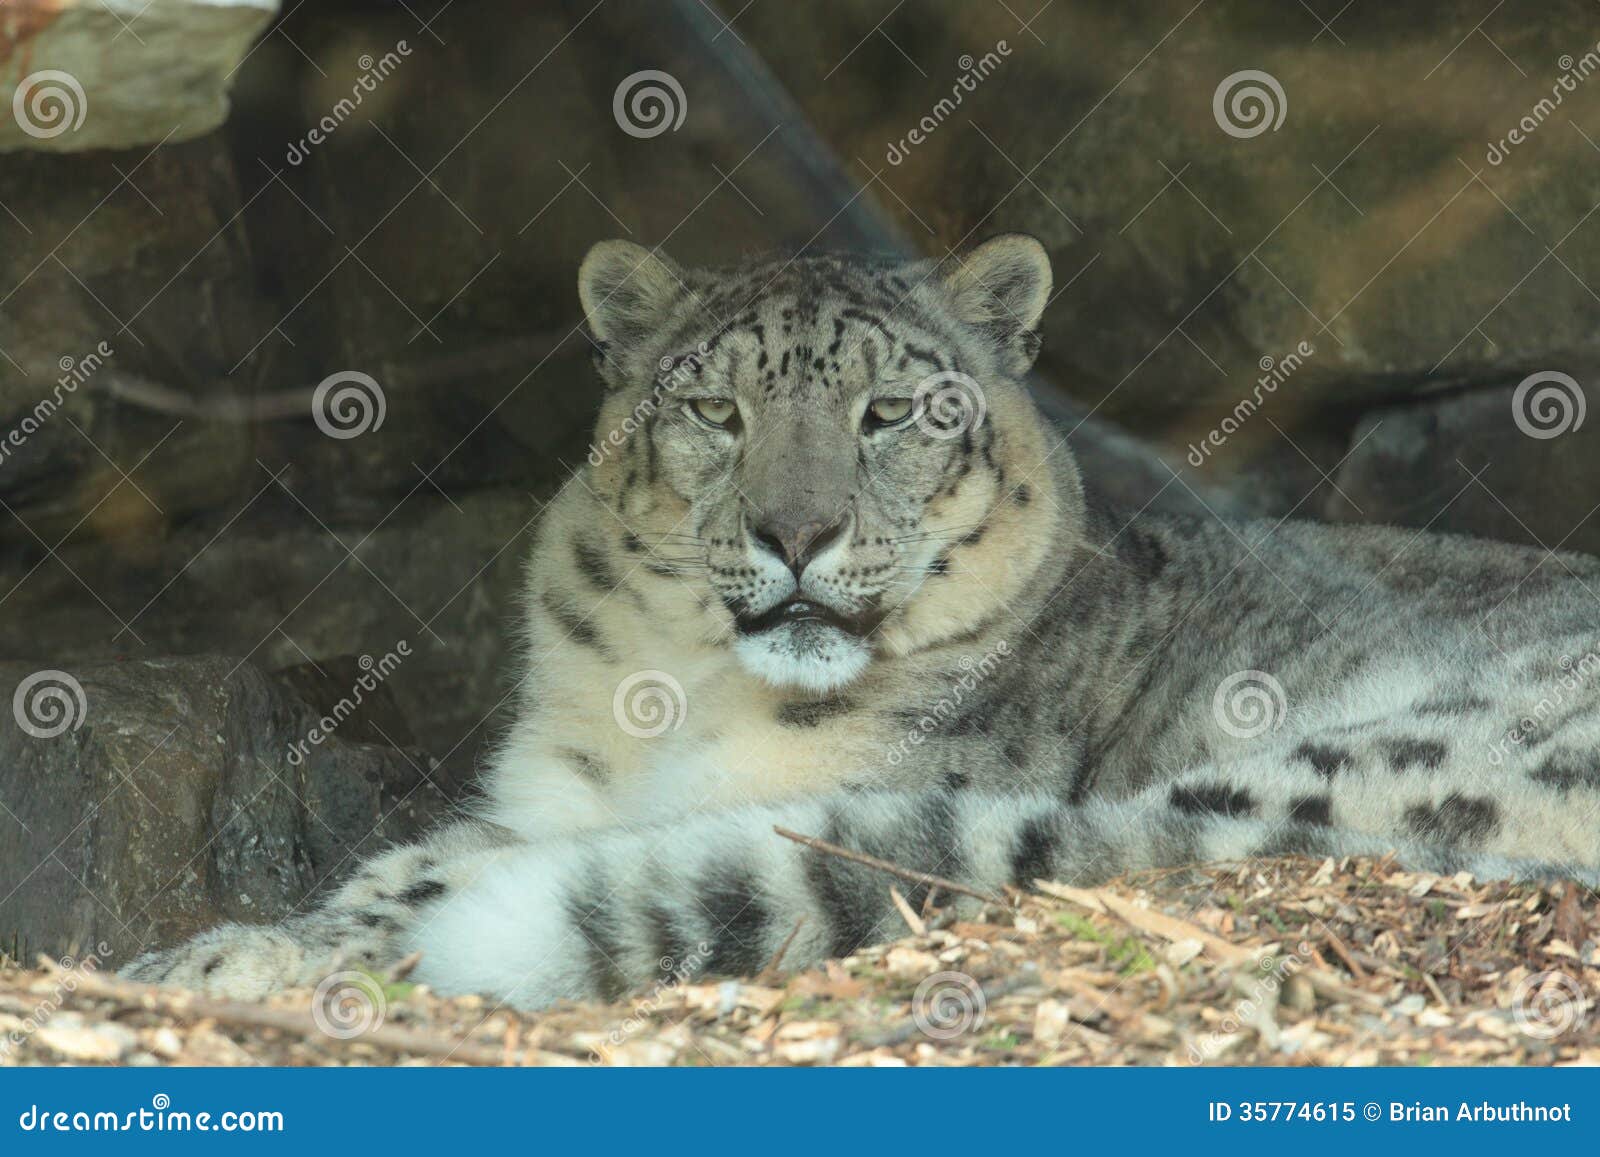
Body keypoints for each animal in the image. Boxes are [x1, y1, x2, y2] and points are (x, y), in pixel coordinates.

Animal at [124, 234, 1600, 1010]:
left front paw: (237, 954)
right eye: (714, 409)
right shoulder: (545, 790)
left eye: (890, 411)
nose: (797, 534)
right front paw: (216, 941)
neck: (671, 693)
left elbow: (446, 873)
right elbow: (411, 859)